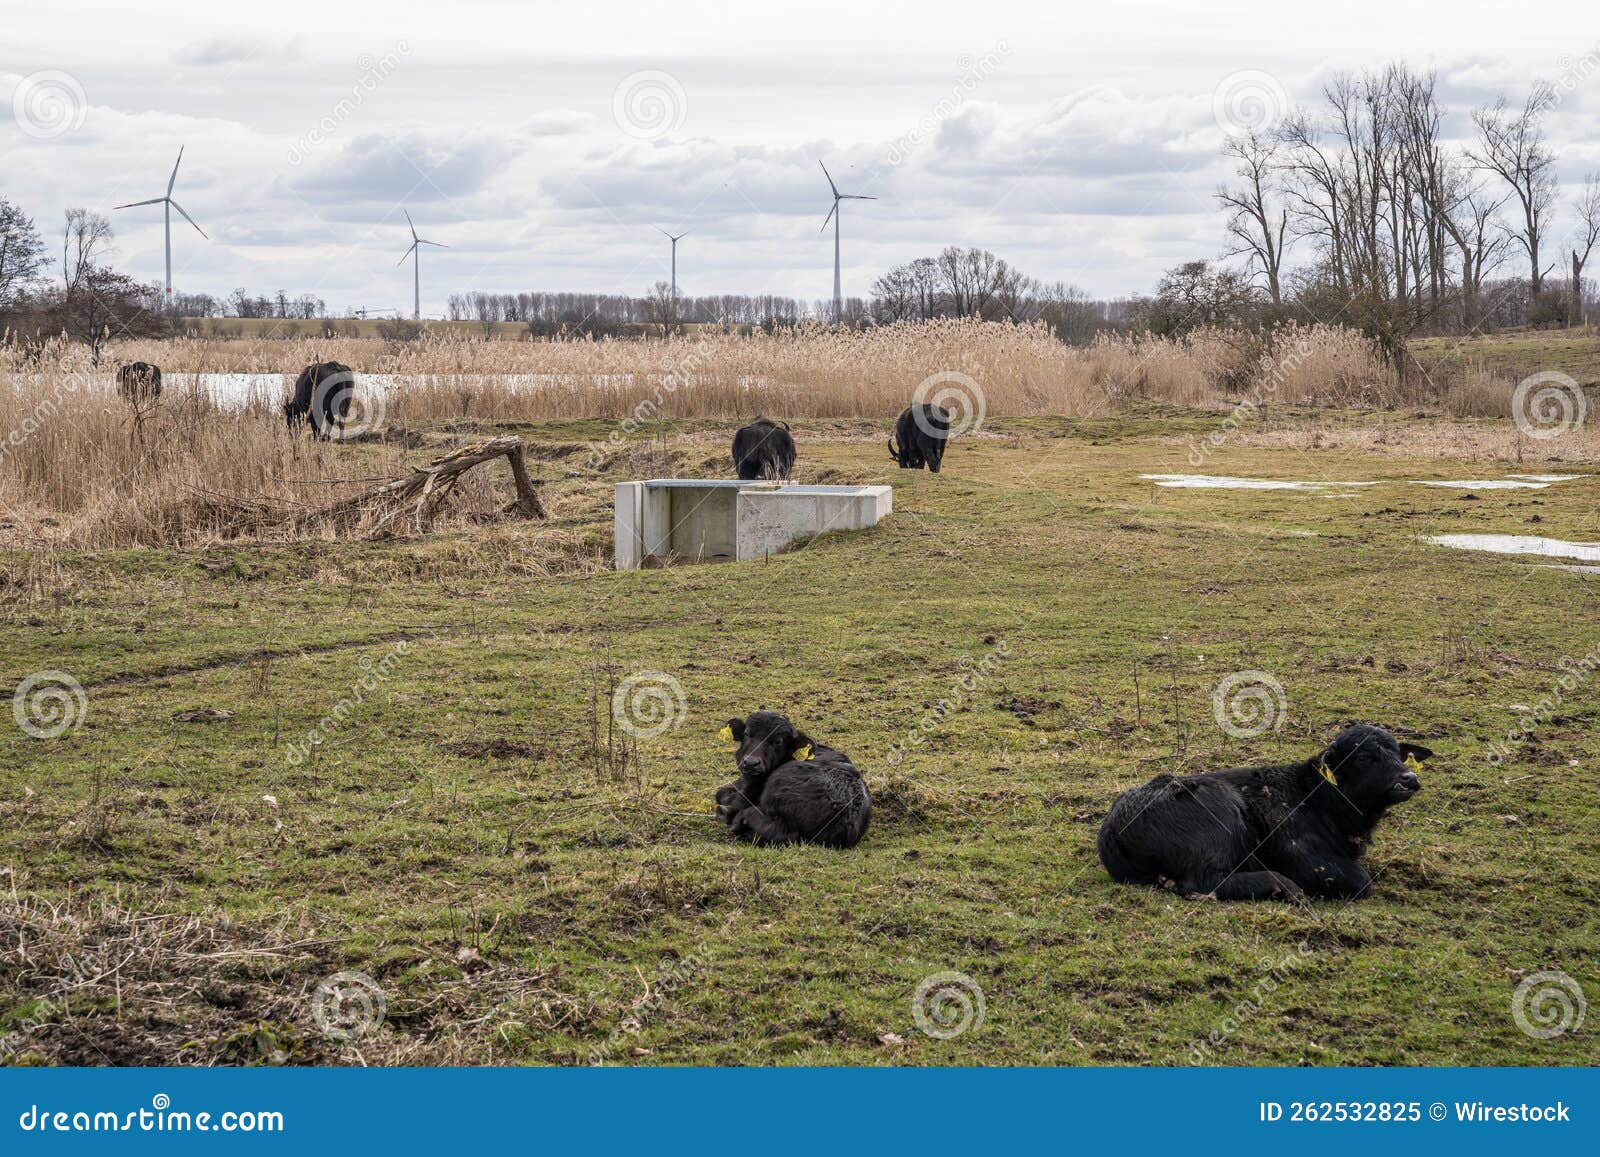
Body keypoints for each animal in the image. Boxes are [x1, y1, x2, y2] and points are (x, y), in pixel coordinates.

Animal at [713, 710, 871, 848]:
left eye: (778, 741)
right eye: (747, 734)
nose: (751, 763)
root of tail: (843, 811)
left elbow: (725, 796)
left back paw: (729, 816)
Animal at [1096, 724, 1433, 902]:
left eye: (1397, 753)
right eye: (1363, 757)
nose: (1408, 780)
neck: (1315, 797)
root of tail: (1112, 828)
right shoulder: (1306, 858)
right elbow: (1361, 881)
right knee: (1203, 883)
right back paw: (1282, 886)